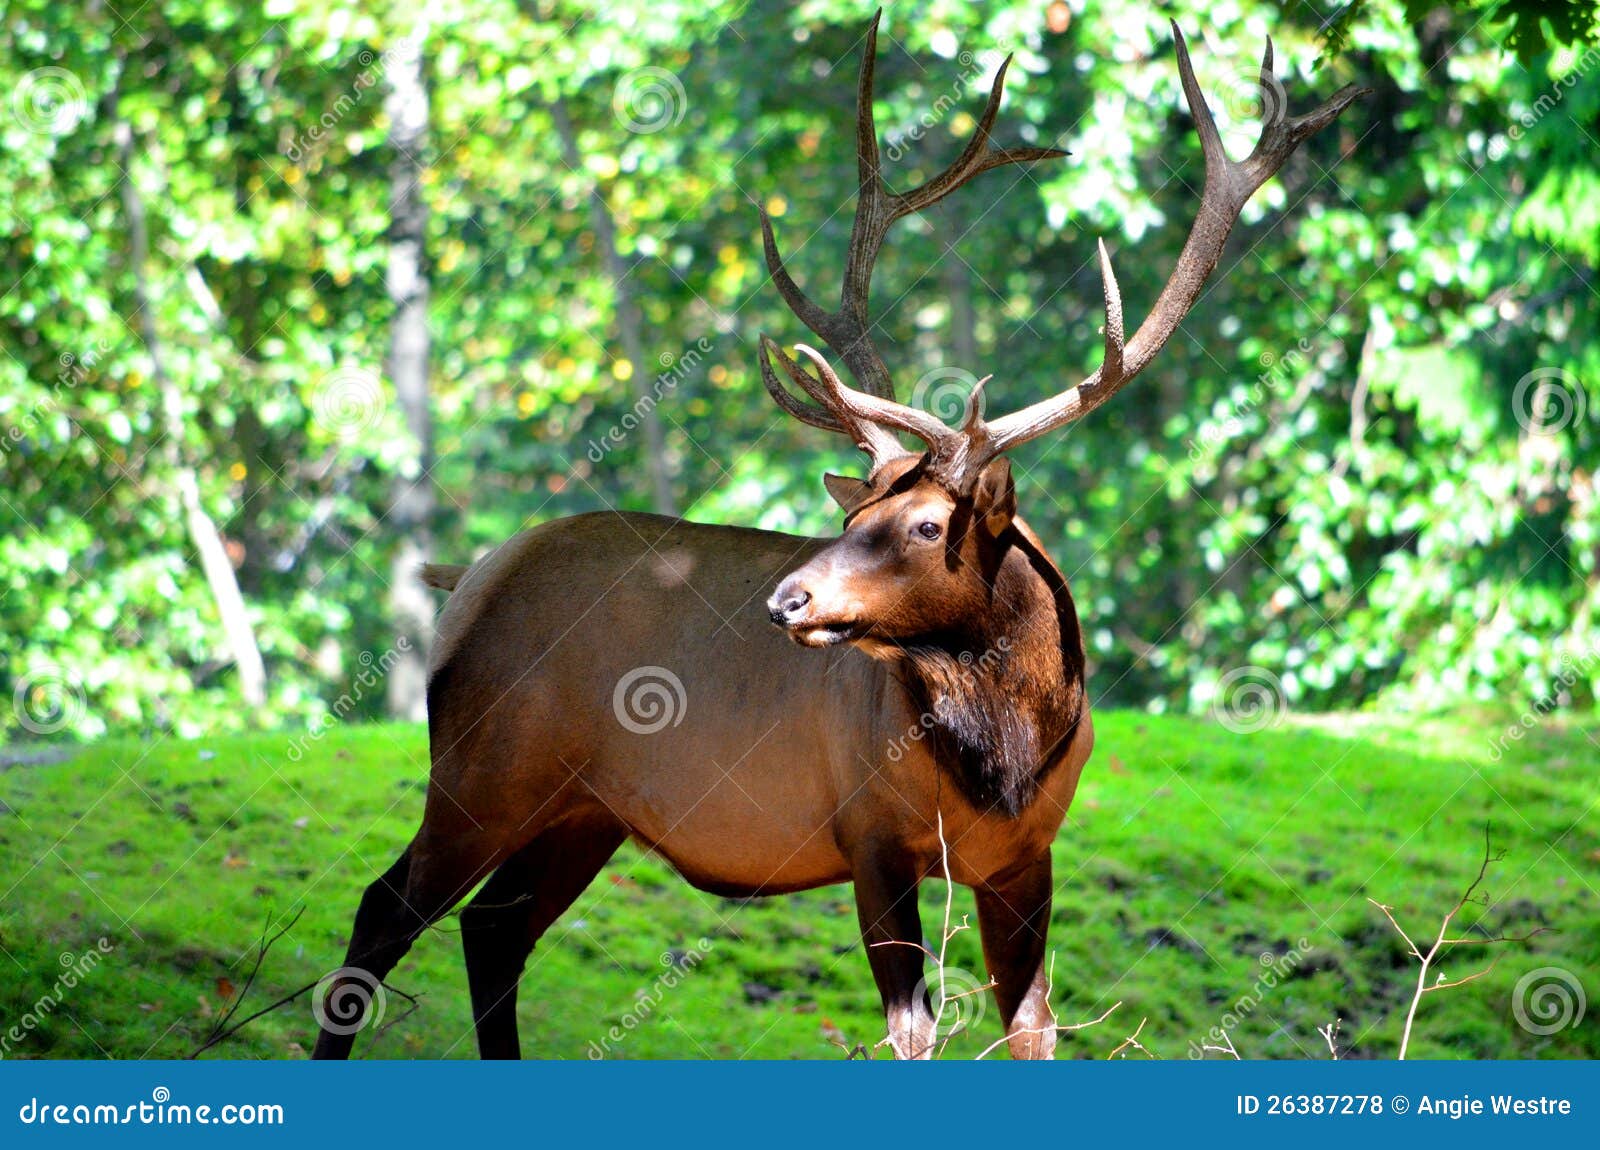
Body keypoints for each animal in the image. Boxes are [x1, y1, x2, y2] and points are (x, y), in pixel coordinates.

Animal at [311, 15, 1364, 1061]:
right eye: (852, 518)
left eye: (929, 523)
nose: (787, 598)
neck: (1006, 754)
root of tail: (467, 579)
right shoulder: (870, 836)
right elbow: (912, 1033)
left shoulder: (1028, 857)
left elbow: (1034, 1029)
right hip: (482, 771)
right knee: (383, 907)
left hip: (582, 810)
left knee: (491, 929)